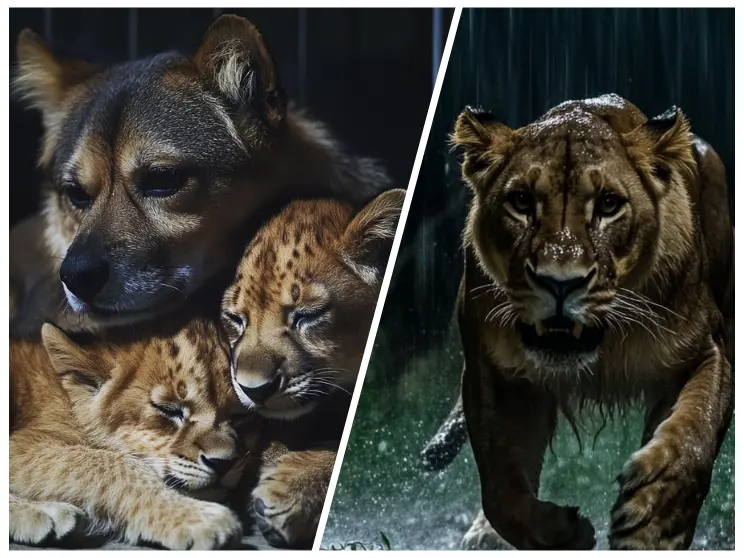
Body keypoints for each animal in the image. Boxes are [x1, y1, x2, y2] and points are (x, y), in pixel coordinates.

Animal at [10, 316, 251, 549]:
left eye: (239, 416)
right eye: (169, 409)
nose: (224, 464)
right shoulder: (24, 444)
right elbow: (113, 464)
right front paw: (198, 518)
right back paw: (47, 514)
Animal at [439, 93, 733, 550]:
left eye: (609, 204)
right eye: (521, 201)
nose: (560, 284)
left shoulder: (706, 350)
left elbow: (693, 436)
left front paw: (653, 522)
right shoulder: (496, 375)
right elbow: (501, 492)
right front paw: (563, 533)